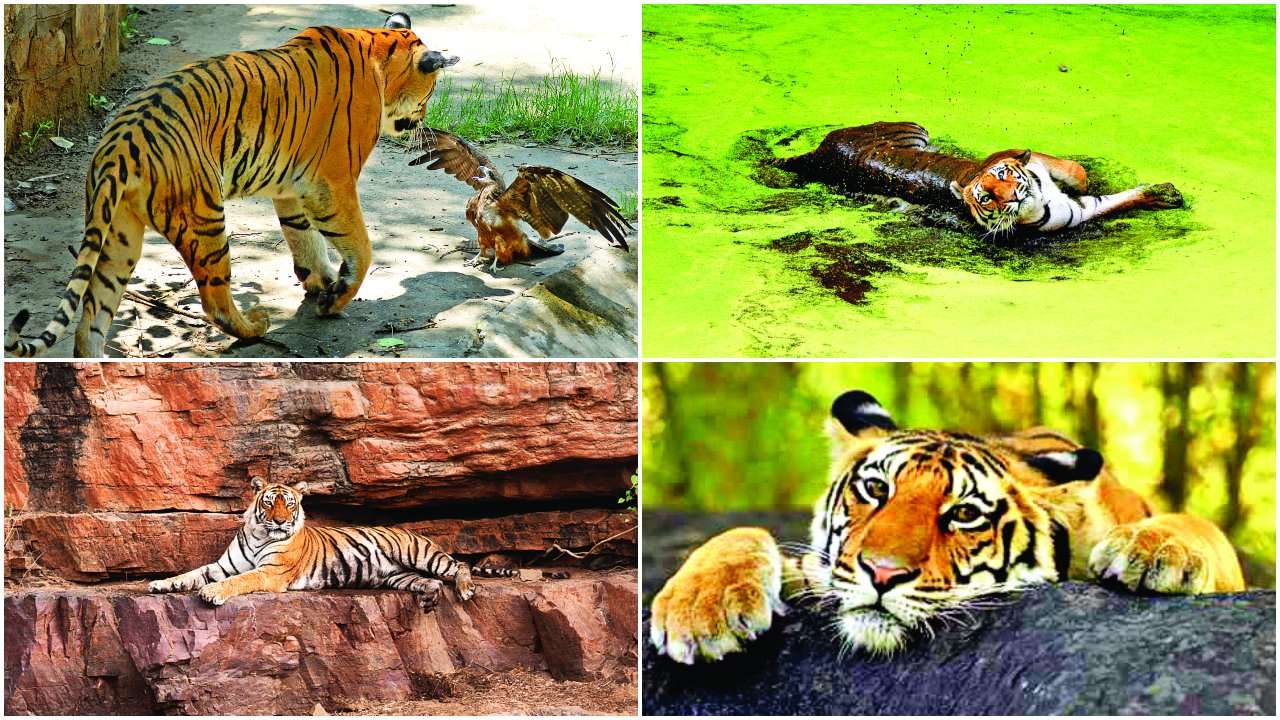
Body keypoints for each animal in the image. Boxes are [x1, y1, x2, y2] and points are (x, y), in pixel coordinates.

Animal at [5, 12, 459, 358]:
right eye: (431, 92)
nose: (422, 121)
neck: (376, 50)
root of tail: (119, 146)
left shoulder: (292, 189)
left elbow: (304, 239)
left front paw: (320, 282)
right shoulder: (332, 184)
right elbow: (361, 250)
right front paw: (335, 297)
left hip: (119, 237)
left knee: (90, 320)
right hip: (205, 220)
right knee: (215, 302)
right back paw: (256, 325)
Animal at [148, 477, 516, 610]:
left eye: (290, 504)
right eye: (269, 503)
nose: (280, 521)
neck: (258, 534)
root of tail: (414, 532)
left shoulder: (269, 573)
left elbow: (240, 580)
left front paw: (212, 593)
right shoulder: (221, 565)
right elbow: (193, 573)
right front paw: (161, 584)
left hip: (418, 553)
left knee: (458, 565)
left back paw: (465, 588)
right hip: (399, 576)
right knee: (431, 581)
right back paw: (430, 596)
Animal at [649, 390, 1244, 663]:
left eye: (964, 514)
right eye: (877, 489)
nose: (882, 574)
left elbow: (1202, 526)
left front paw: (1155, 548)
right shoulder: (820, 569)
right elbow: (740, 534)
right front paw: (700, 609)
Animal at [774, 121, 1184, 237]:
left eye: (1003, 175)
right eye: (986, 198)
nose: (1011, 197)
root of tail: (821, 151)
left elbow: (1081, 176)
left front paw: (1164, 194)